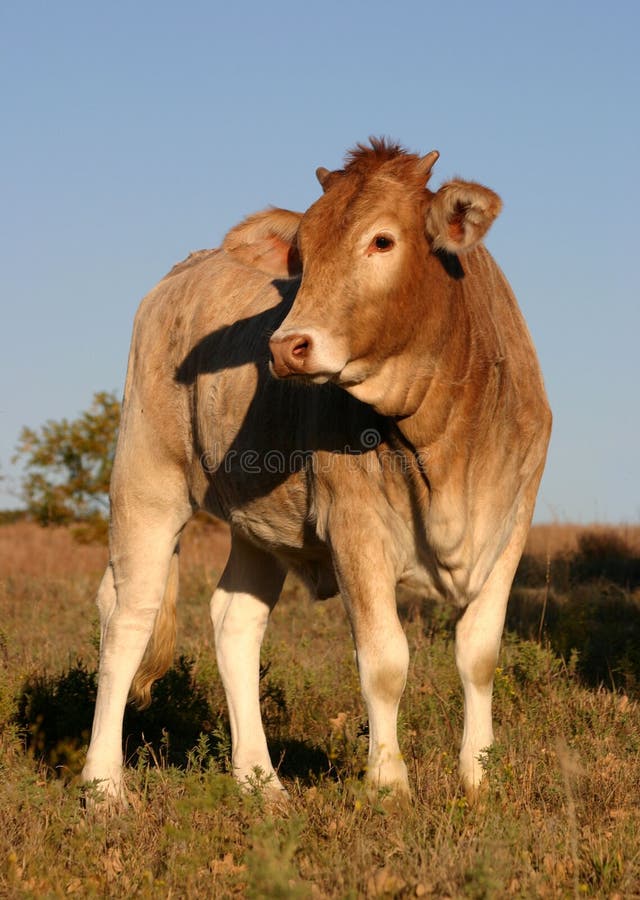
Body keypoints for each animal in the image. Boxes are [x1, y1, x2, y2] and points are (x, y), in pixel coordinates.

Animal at [81, 139, 551, 804]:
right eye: (301, 256)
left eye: (382, 240)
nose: (285, 346)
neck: (442, 438)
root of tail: (184, 270)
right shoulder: (356, 530)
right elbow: (385, 661)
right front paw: (389, 785)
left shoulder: (511, 525)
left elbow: (478, 654)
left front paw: (480, 778)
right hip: (146, 479)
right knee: (128, 617)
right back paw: (104, 787)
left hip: (256, 523)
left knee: (235, 623)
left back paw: (260, 782)